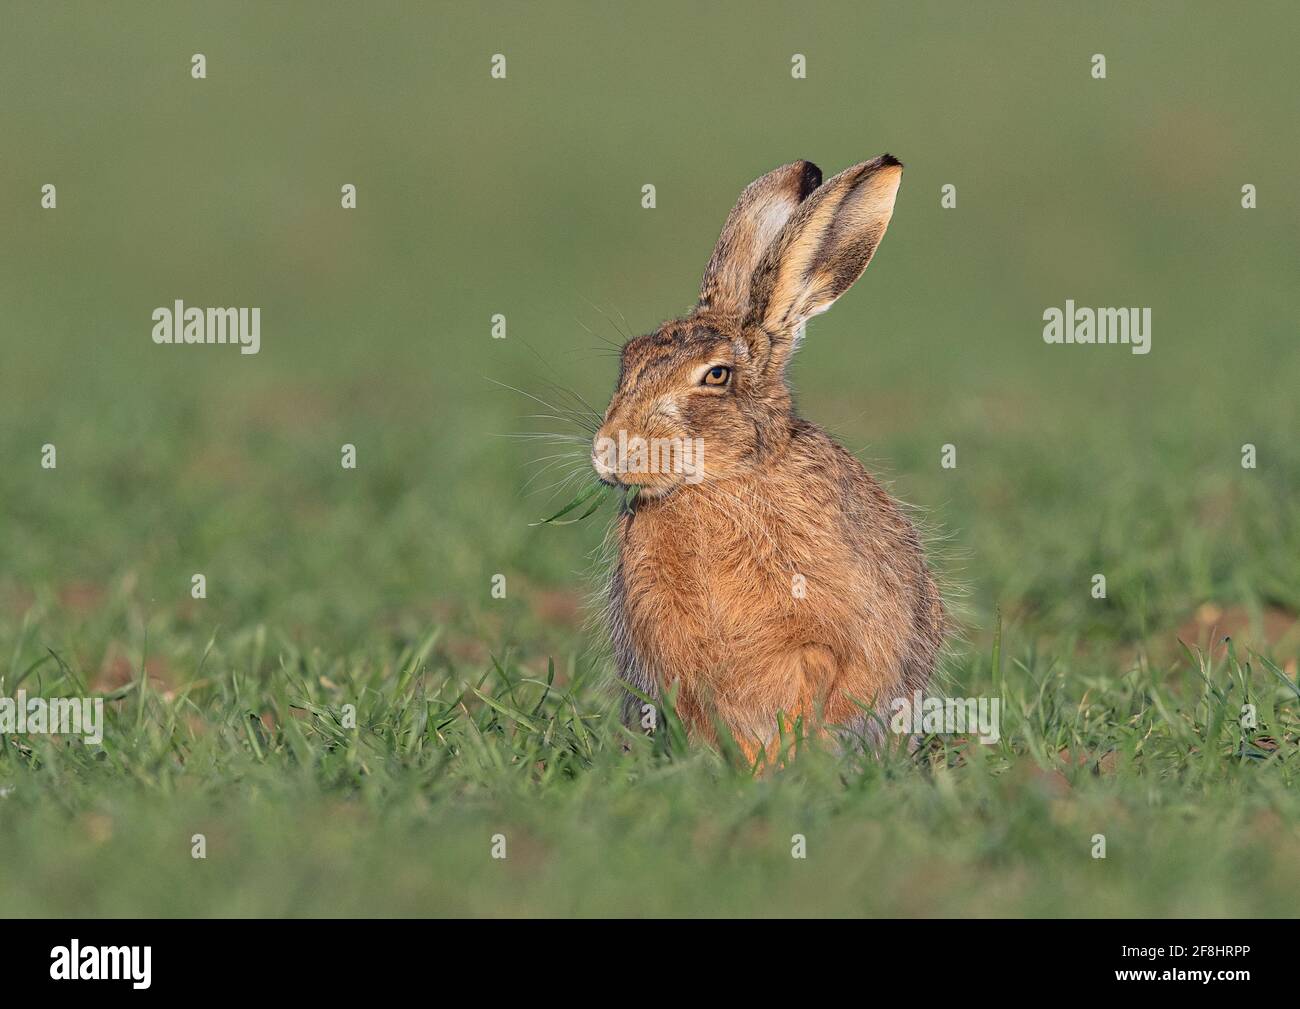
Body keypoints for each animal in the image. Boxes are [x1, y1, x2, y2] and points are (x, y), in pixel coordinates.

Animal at [591, 155, 945, 762]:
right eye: (629, 358)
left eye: (716, 375)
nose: (610, 450)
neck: (720, 484)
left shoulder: (827, 634)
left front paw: (787, 763)